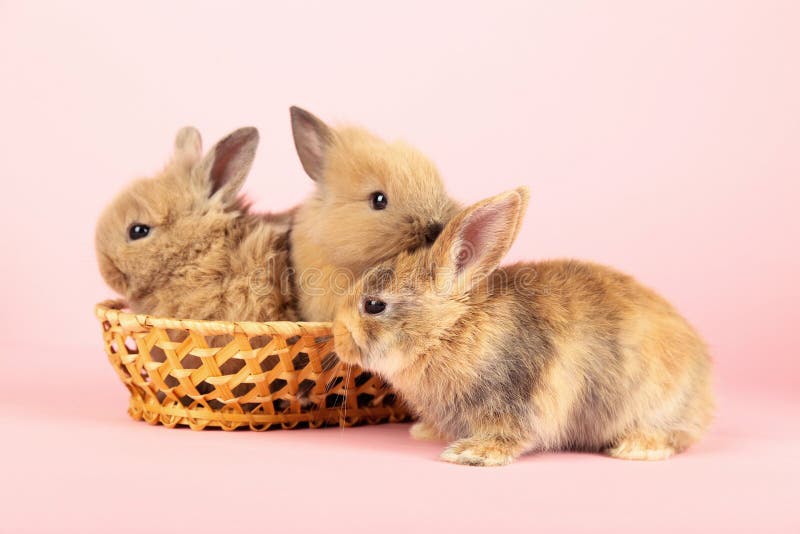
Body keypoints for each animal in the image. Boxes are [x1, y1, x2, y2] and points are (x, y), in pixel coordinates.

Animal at [333, 187, 714, 466]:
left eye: (374, 305)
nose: (337, 339)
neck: (449, 330)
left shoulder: (517, 401)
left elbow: (510, 435)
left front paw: (469, 453)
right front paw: (425, 432)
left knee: (676, 435)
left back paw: (637, 448)